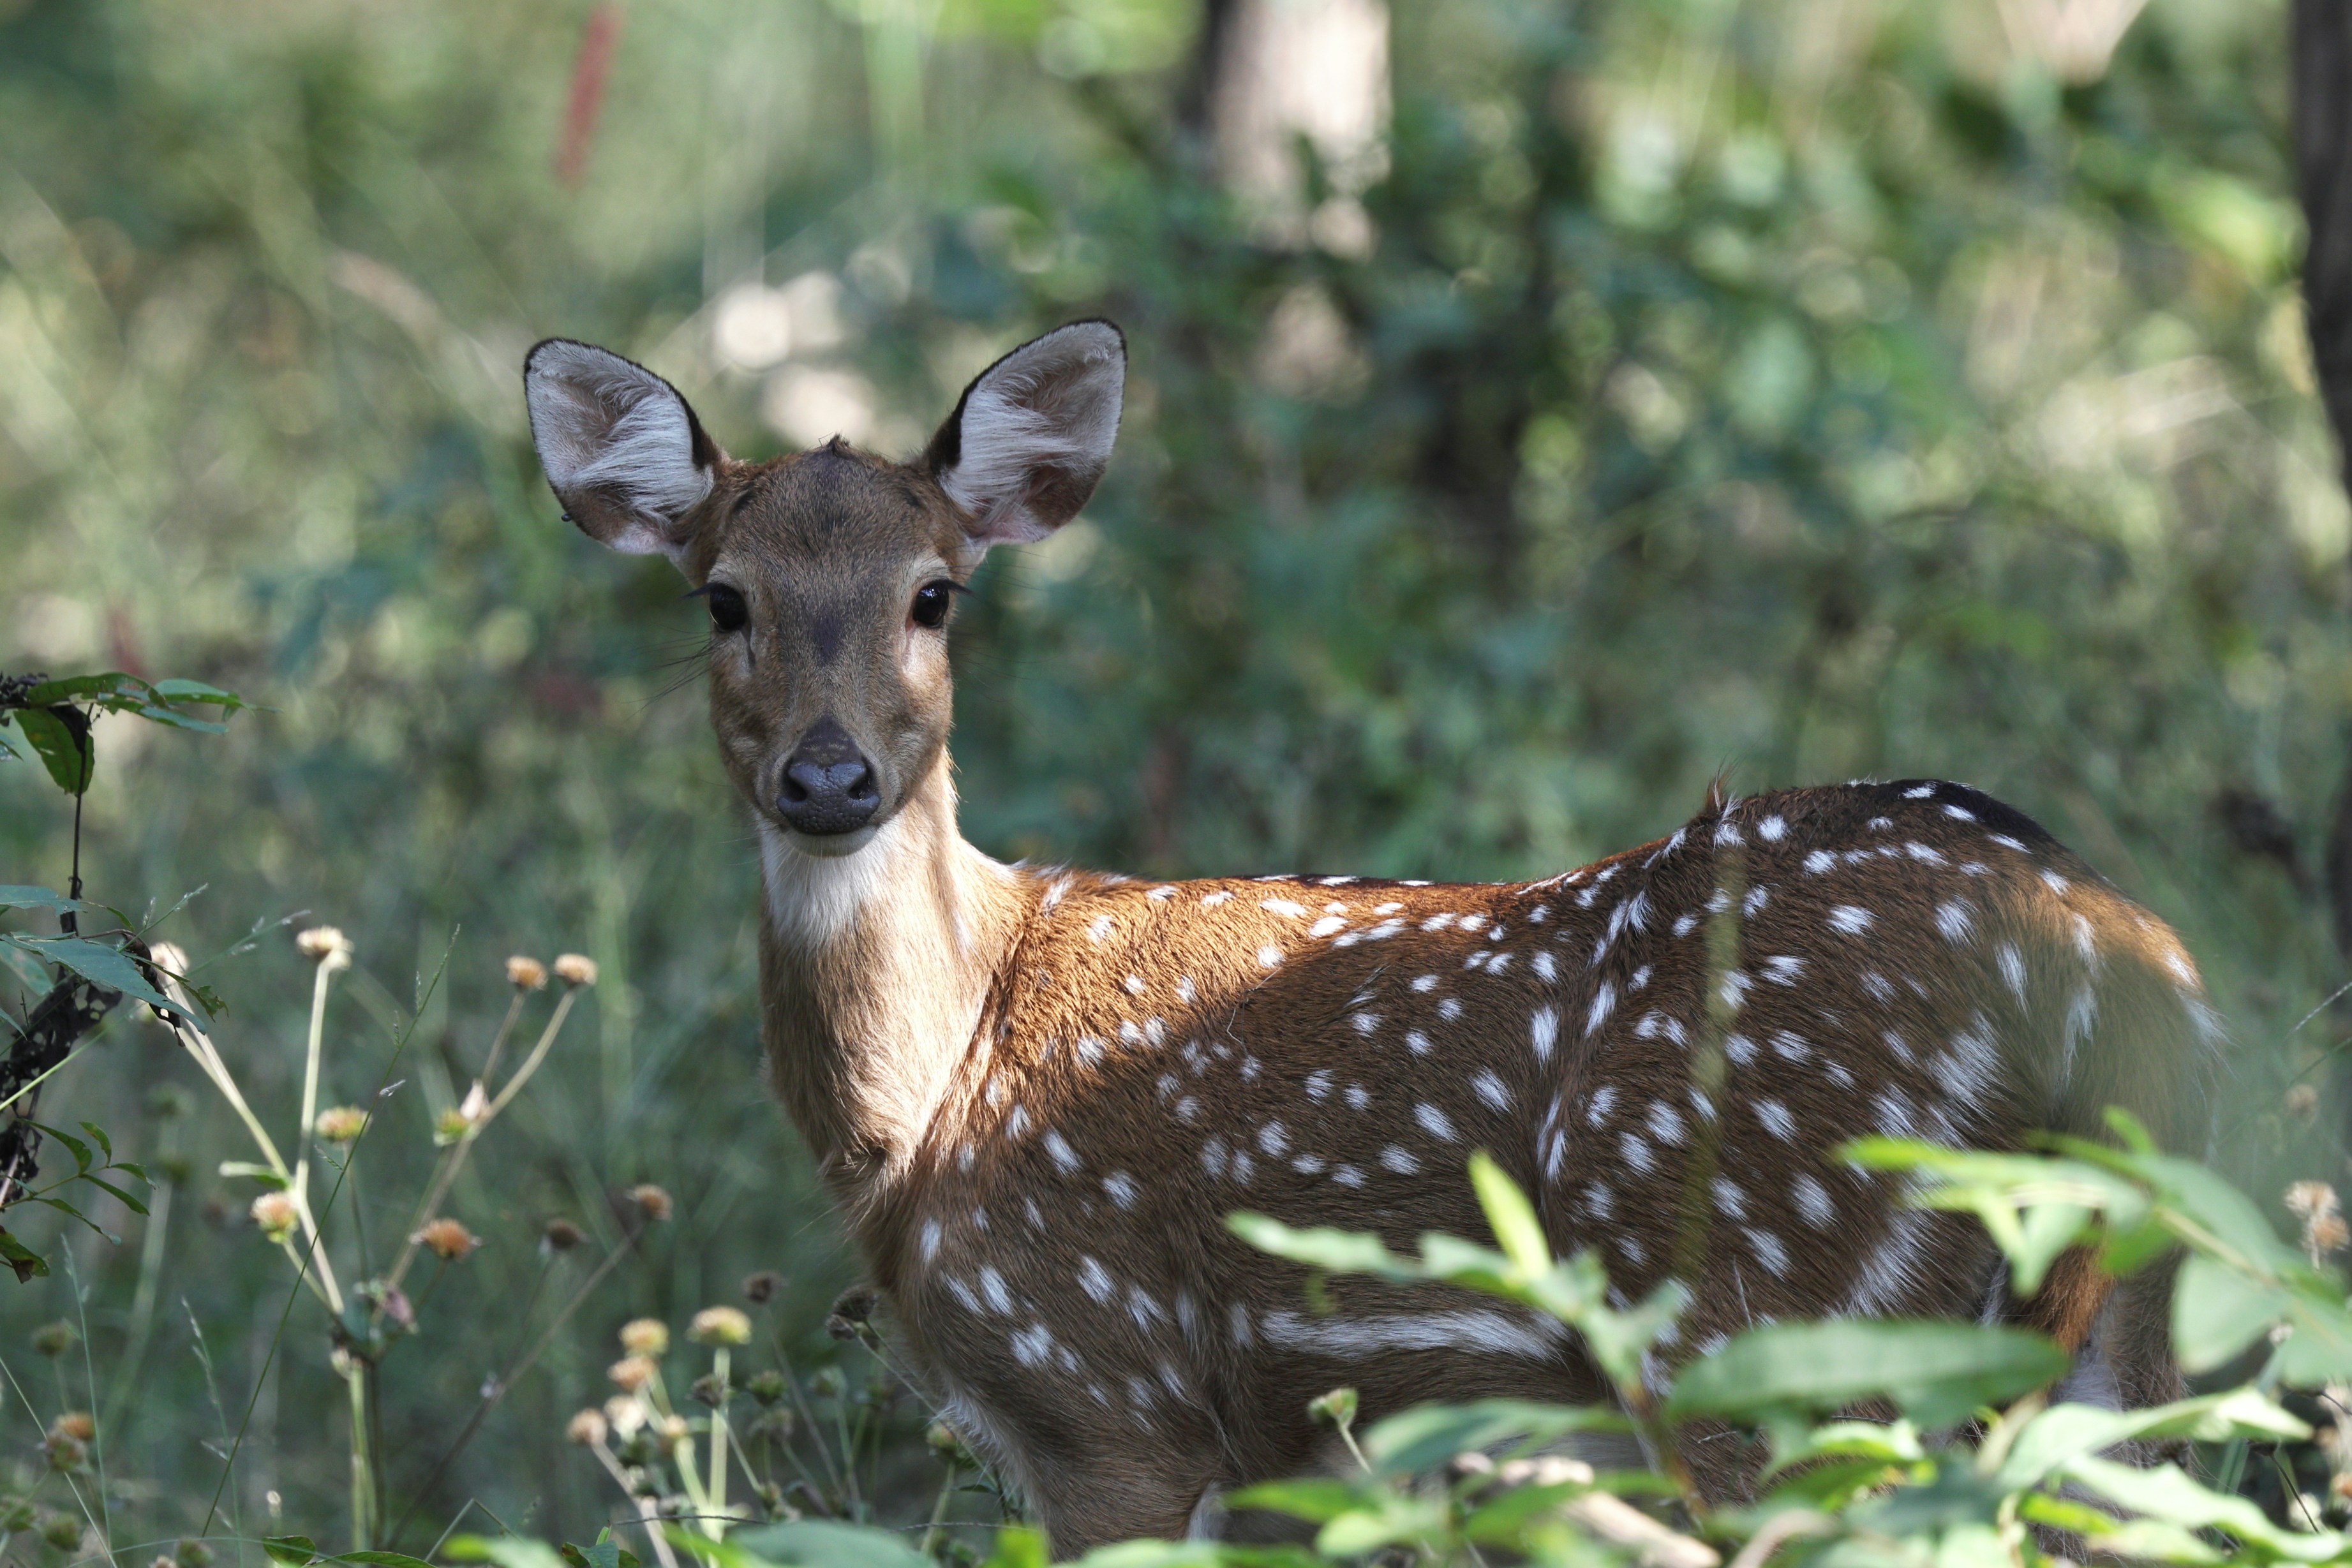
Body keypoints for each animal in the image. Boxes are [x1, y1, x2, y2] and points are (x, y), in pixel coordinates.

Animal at [524, 319, 2218, 1553]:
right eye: (723, 598)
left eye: (934, 594)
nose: (828, 780)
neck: (933, 1096)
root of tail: (2098, 952)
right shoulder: (1278, 1449)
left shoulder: (1106, 1393)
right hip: (2112, 1335)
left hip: (1764, 1324)